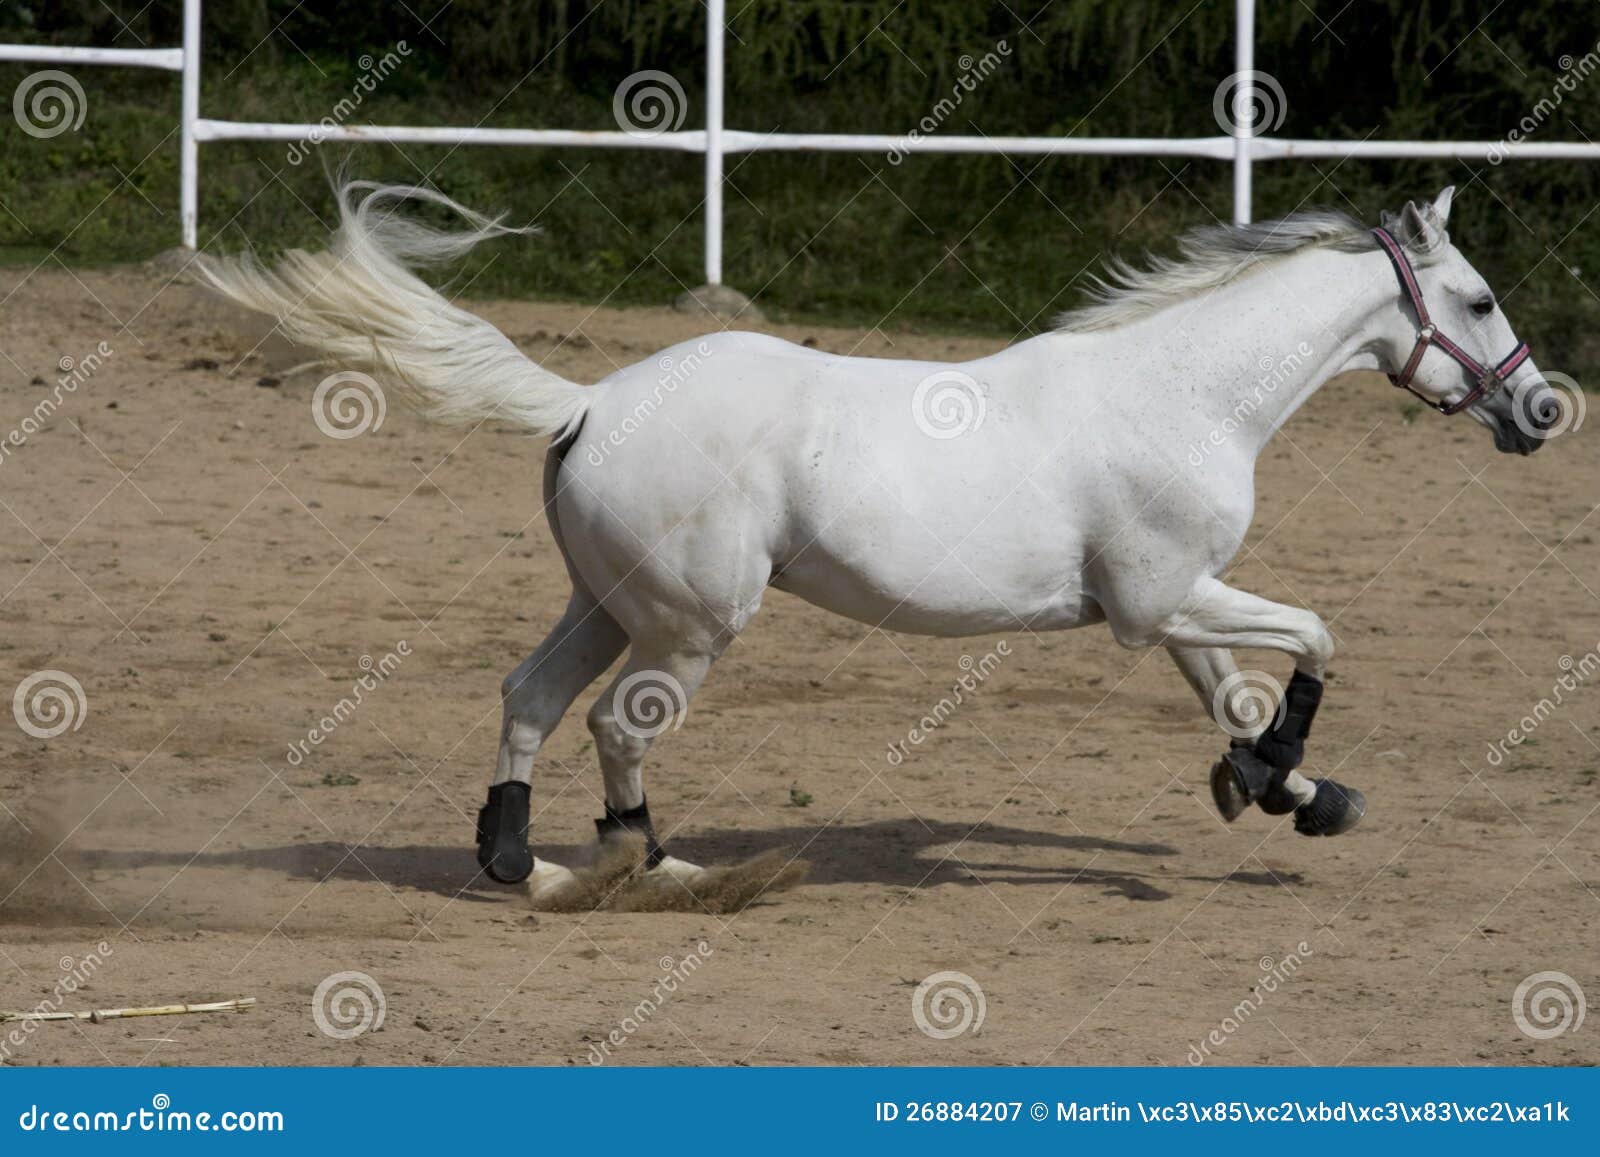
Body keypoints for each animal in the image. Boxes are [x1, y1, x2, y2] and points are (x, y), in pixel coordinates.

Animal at [197, 182, 1562, 898]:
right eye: (1481, 297)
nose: (1547, 412)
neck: (1184, 390)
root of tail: (586, 402)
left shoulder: (1171, 597)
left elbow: (1234, 697)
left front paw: (1286, 791)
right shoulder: (1159, 598)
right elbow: (1314, 638)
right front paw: (1292, 786)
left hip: (604, 602)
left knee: (529, 697)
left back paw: (522, 864)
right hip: (688, 626)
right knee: (617, 728)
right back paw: (663, 869)